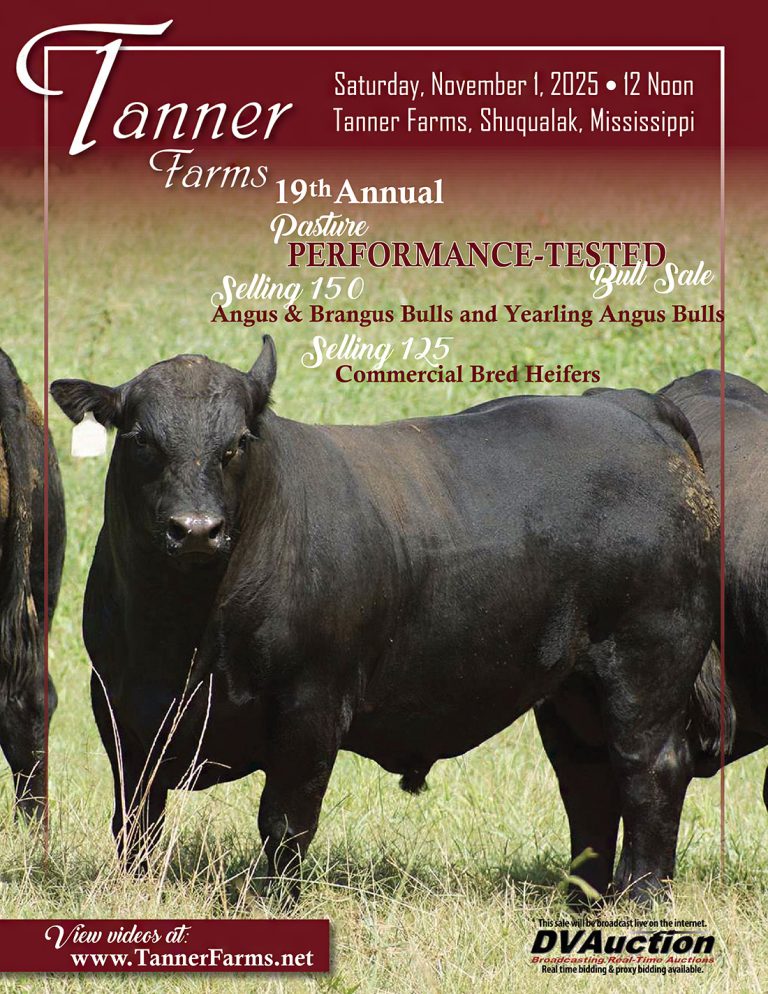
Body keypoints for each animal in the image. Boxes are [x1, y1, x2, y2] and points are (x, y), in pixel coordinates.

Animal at [51, 337, 721, 904]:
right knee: (588, 782)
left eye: (237, 442)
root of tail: (630, 407)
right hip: (571, 690)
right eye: (141, 438)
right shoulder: (117, 706)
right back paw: (582, 898)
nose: (195, 529)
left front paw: (275, 901)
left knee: (650, 768)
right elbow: (136, 818)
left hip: (647, 662)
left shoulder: (311, 705)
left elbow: (285, 820)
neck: (187, 634)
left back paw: (638, 897)